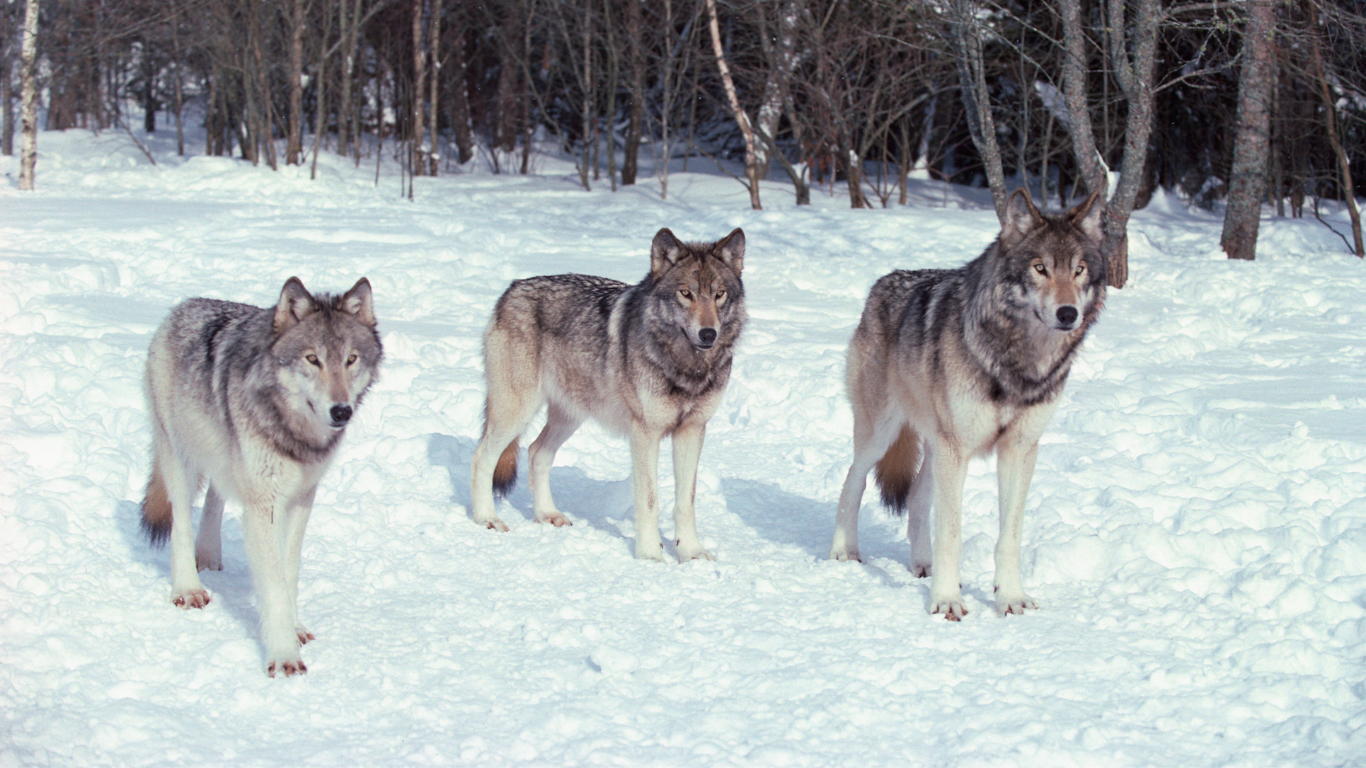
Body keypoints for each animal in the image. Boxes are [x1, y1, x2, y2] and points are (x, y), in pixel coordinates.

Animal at [141, 276, 382, 676]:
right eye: (312, 359)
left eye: (351, 359)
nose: (342, 411)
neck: (294, 434)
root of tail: (183, 306)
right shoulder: (264, 504)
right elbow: (273, 583)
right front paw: (284, 656)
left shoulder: (300, 498)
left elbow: (289, 573)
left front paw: (295, 628)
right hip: (180, 458)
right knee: (180, 523)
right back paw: (188, 587)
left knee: (215, 499)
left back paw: (209, 556)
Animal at [468, 228, 746, 562]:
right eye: (686, 293)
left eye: (719, 294)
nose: (708, 334)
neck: (687, 366)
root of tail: (512, 288)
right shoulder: (645, 433)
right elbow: (649, 502)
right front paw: (650, 556)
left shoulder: (692, 430)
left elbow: (685, 502)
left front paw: (691, 553)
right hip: (516, 412)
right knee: (482, 457)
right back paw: (487, 518)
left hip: (570, 415)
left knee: (536, 452)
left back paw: (548, 514)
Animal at [829, 190, 1106, 620]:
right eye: (1040, 268)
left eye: (1078, 270)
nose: (1068, 313)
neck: (1017, 363)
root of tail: (882, 283)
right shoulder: (956, 448)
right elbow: (951, 533)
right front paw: (946, 601)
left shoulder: (1019, 450)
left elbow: (1010, 535)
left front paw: (1009, 597)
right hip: (885, 435)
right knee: (852, 479)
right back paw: (844, 551)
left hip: (936, 446)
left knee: (916, 497)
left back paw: (922, 564)